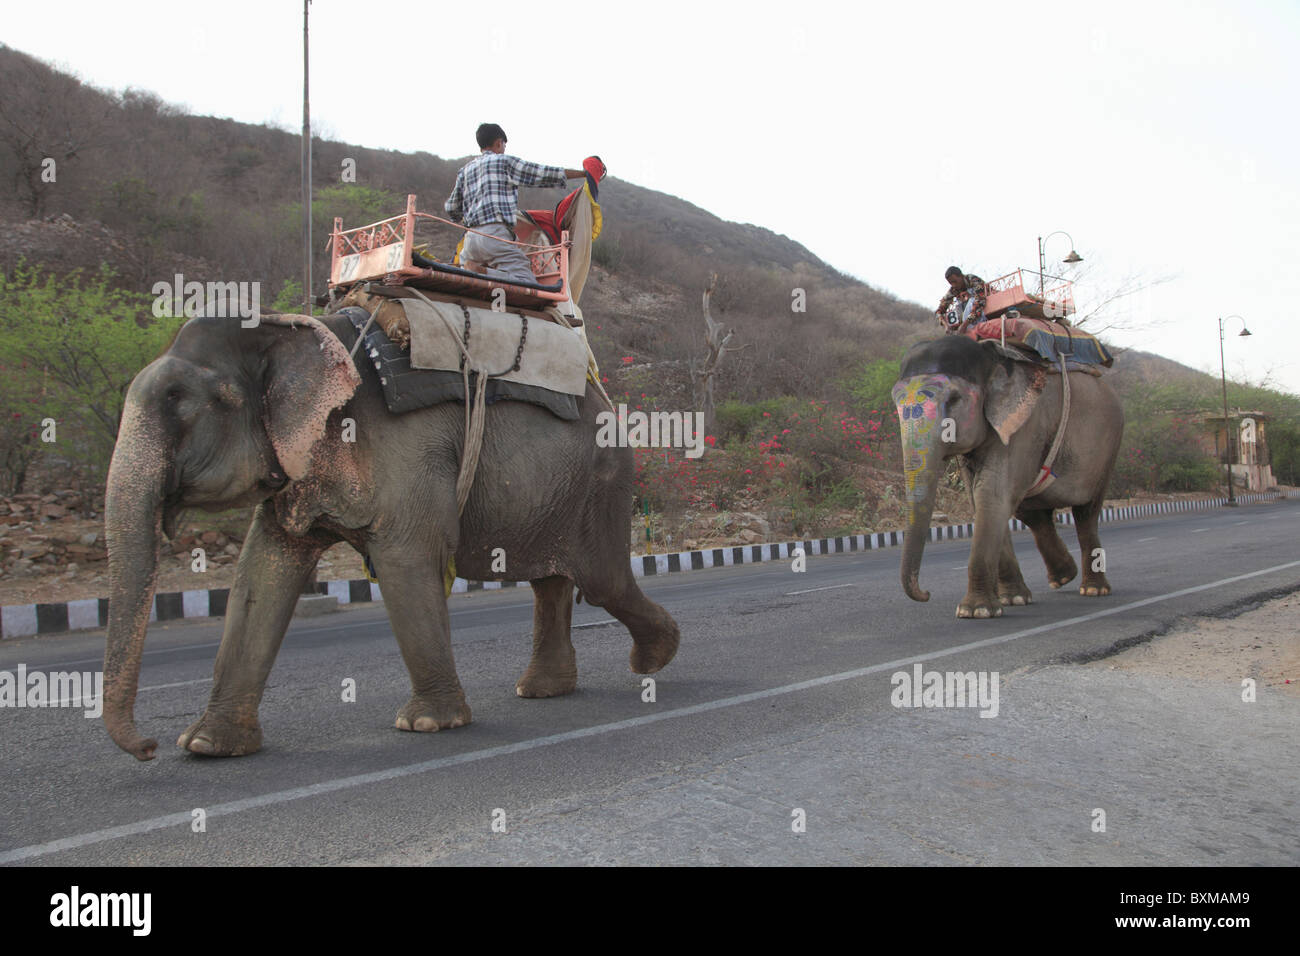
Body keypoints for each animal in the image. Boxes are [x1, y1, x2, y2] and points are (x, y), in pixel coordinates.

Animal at [103, 311, 680, 760]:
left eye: (177, 398)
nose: (148, 747)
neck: (282, 329)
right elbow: (261, 570)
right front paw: (205, 747)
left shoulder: (405, 451)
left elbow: (407, 559)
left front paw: (427, 725)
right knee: (551, 580)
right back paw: (544, 691)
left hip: (601, 480)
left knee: (601, 581)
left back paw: (653, 660)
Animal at [891, 335, 1124, 619]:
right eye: (895, 403)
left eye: (955, 399)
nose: (926, 593)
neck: (990, 356)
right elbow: (979, 498)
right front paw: (1010, 600)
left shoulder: (1024, 424)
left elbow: (991, 493)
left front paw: (975, 611)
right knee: (1033, 514)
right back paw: (1062, 577)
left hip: (1108, 447)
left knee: (1086, 513)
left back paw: (1093, 590)